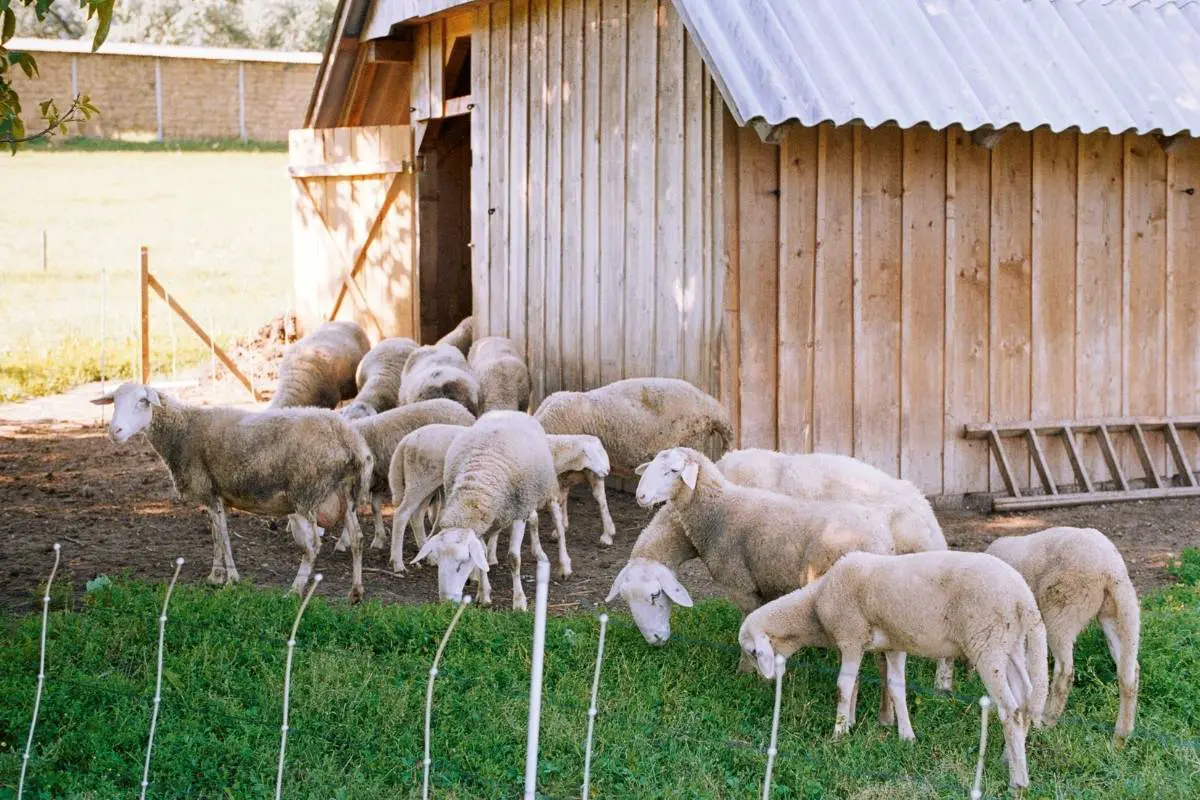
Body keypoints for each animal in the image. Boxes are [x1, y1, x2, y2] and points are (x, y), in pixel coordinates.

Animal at [92, 381, 374, 602]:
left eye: (142, 401)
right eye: (114, 402)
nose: (114, 431)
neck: (182, 430)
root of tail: (350, 440)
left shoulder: (208, 490)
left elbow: (225, 537)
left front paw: (231, 580)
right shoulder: (213, 494)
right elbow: (216, 535)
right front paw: (215, 576)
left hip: (306, 493)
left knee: (313, 545)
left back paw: (294, 590)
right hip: (347, 493)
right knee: (357, 538)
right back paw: (356, 592)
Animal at [411, 410, 565, 611]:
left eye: (463, 561)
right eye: (438, 560)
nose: (445, 602)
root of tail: (509, 411)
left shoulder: (519, 512)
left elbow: (514, 558)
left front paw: (519, 601)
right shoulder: (484, 521)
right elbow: (482, 554)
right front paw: (484, 594)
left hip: (543, 490)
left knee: (552, 519)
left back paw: (559, 563)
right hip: (516, 505)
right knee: (530, 520)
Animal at [534, 377, 734, 542]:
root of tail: (712, 406)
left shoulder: (591, 467)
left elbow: (599, 497)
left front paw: (607, 533)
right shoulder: (568, 471)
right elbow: (563, 495)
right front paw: (561, 527)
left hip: (691, 442)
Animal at [738, 550, 1048, 790]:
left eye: (753, 652)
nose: (762, 679)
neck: (815, 606)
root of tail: (1024, 598)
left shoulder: (850, 636)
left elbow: (843, 686)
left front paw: (838, 734)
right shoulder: (892, 645)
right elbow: (892, 687)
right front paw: (903, 735)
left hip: (988, 644)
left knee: (1010, 709)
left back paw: (1018, 781)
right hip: (1011, 645)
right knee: (1025, 700)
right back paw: (1009, 757)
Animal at [985, 526, 1140, 747]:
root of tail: (1111, 567)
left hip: (1061, 610)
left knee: (1065, 671)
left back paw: (1047, 721)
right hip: (1115, 611)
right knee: (1129, 671)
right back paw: (1120, 738)